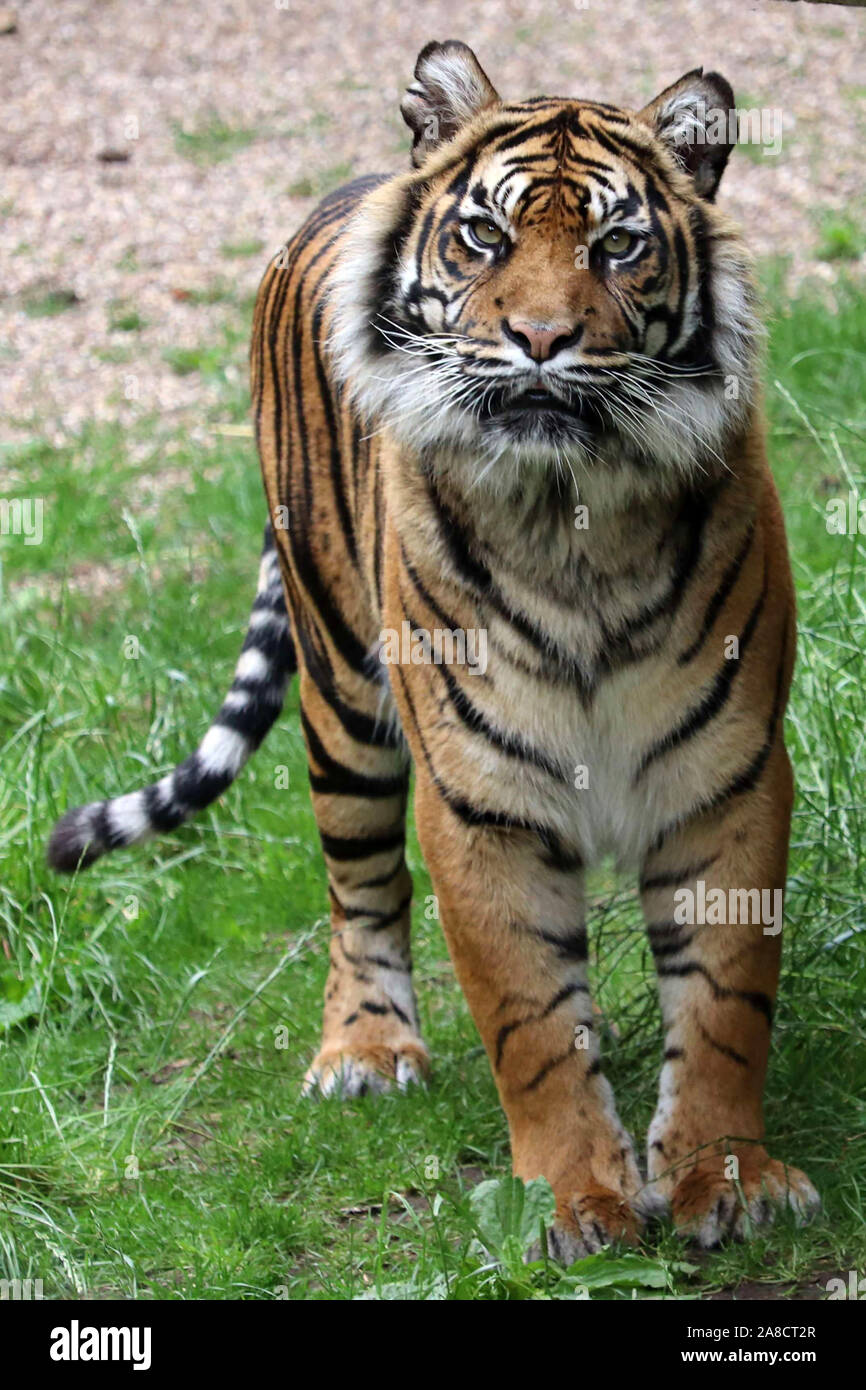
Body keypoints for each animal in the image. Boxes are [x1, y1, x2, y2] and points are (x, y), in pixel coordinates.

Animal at [48, 41, 821, 1259]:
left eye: (617, 245)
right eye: (484, 237)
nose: (541, 340)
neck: (574, 521)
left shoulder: (728, 777)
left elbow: (724, 1003)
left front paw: (723, 1174)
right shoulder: (479, 798)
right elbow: (528, 1022)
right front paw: (573, 1199)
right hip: (337, 689)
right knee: (359, 880)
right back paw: (364, 1051)